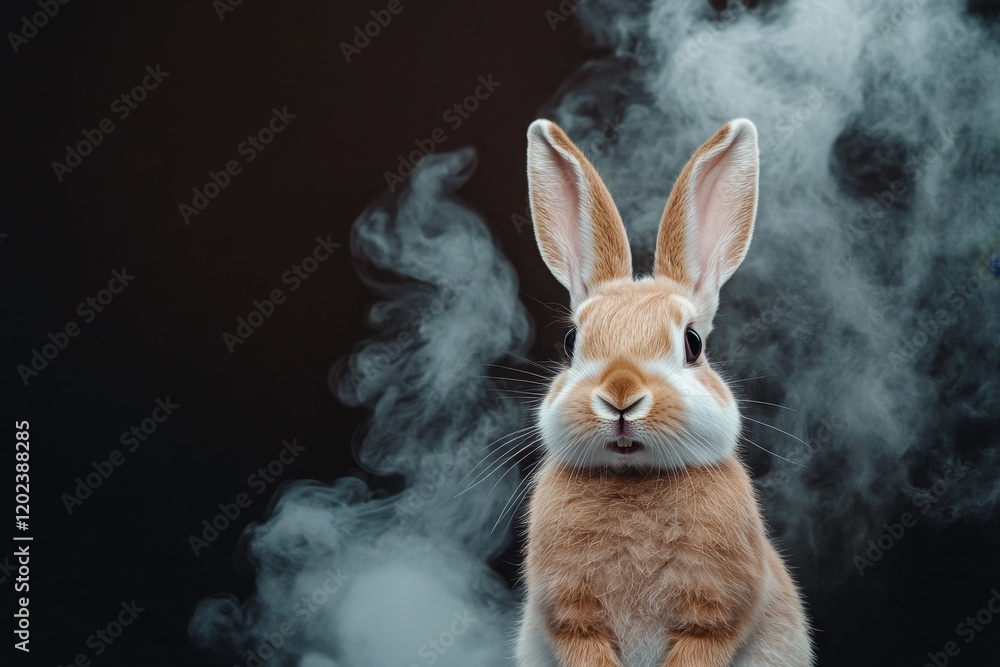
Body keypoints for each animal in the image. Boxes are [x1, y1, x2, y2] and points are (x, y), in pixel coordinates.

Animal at [514, 118, 813, 667]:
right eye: (571, 342)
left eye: (693, 343)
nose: (621, 394)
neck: (636, 478)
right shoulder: (572, 618)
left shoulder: (714, 617)